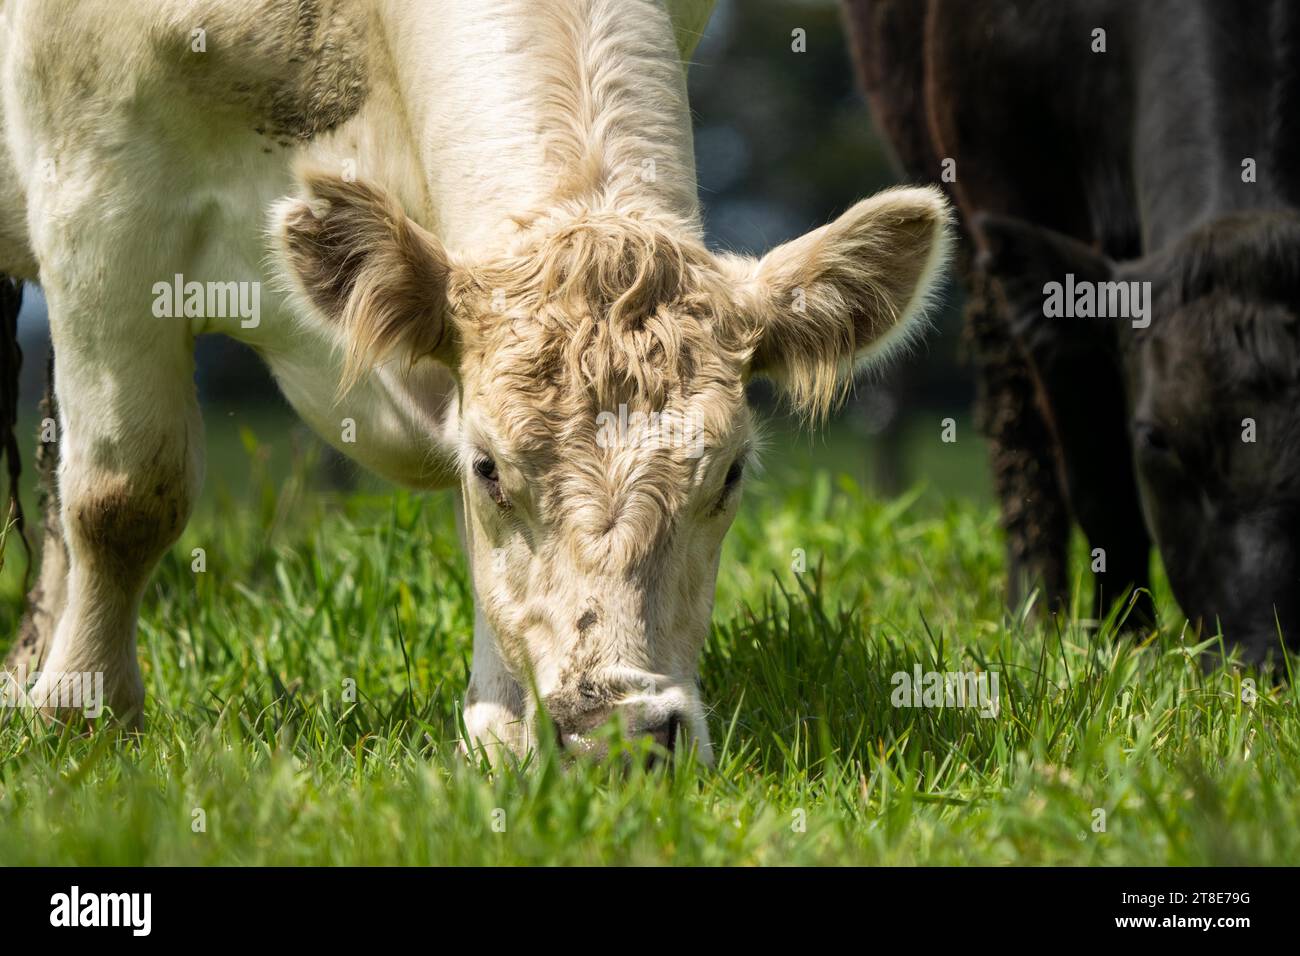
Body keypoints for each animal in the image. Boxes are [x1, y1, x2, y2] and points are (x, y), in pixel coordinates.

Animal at [0, 0, 952, 761]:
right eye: (490, 467)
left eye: (731, 473)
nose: (613, 736)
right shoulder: (96, 185)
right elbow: (126, 496)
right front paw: (85, 711)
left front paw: (496, 730)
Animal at [845, 0, 1300, 661]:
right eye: (1155, 439)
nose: (1269, 655)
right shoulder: (1013, 182)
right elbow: (1099, 479)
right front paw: (1125, 642)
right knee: (1020, 435)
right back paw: (1035, 611)